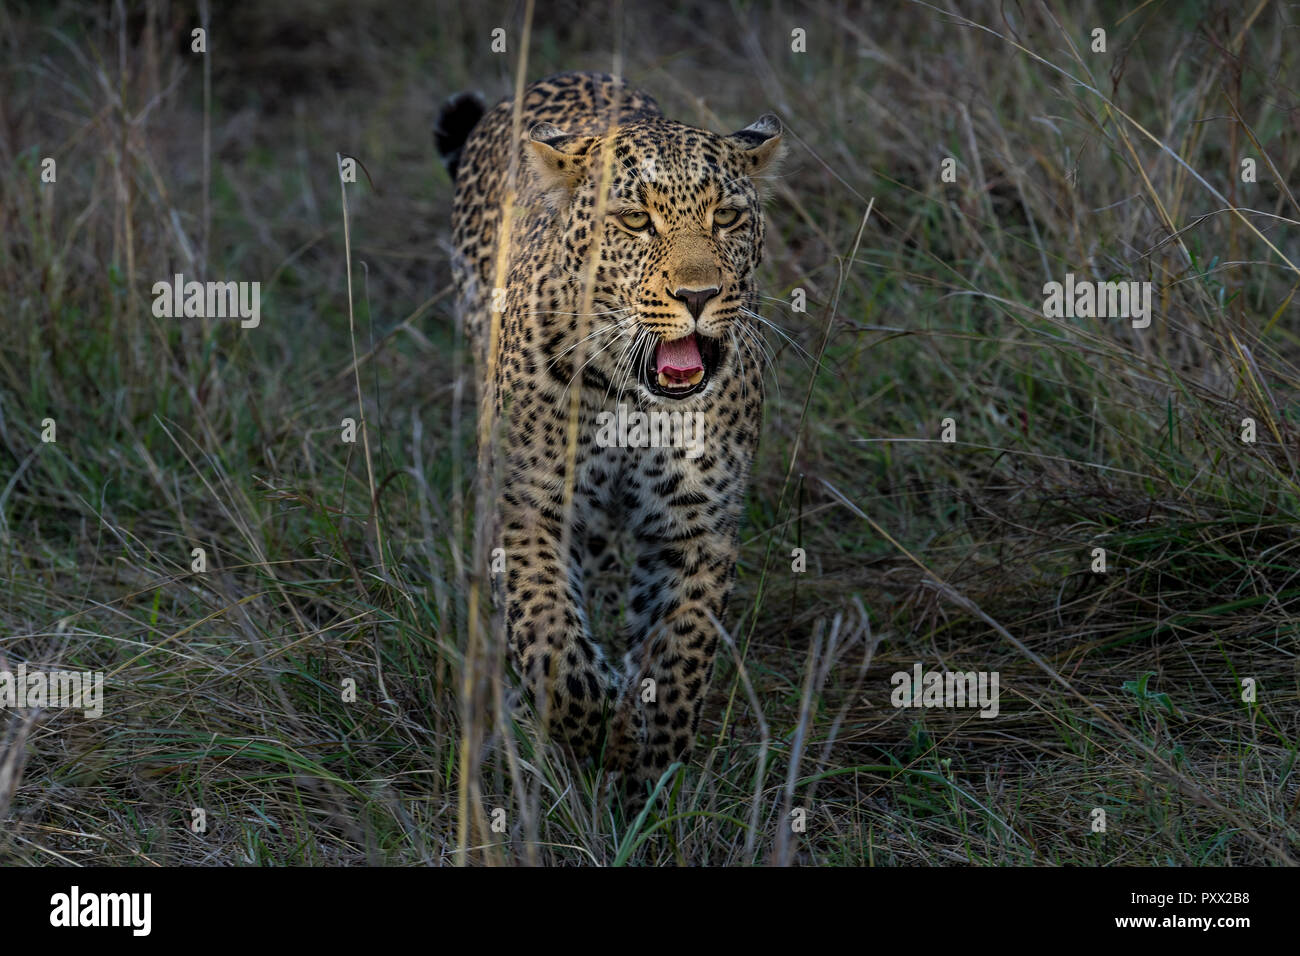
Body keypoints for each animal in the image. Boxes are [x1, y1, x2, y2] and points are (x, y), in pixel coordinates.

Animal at [436, 71, 784, 805]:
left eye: (727, 218)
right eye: (634, 221)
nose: (698, 295)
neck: (632, 399)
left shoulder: (694, 523)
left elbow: (682, 651)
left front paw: (645, 756)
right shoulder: (532, 505)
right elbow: (547, 634)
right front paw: (588, 716)